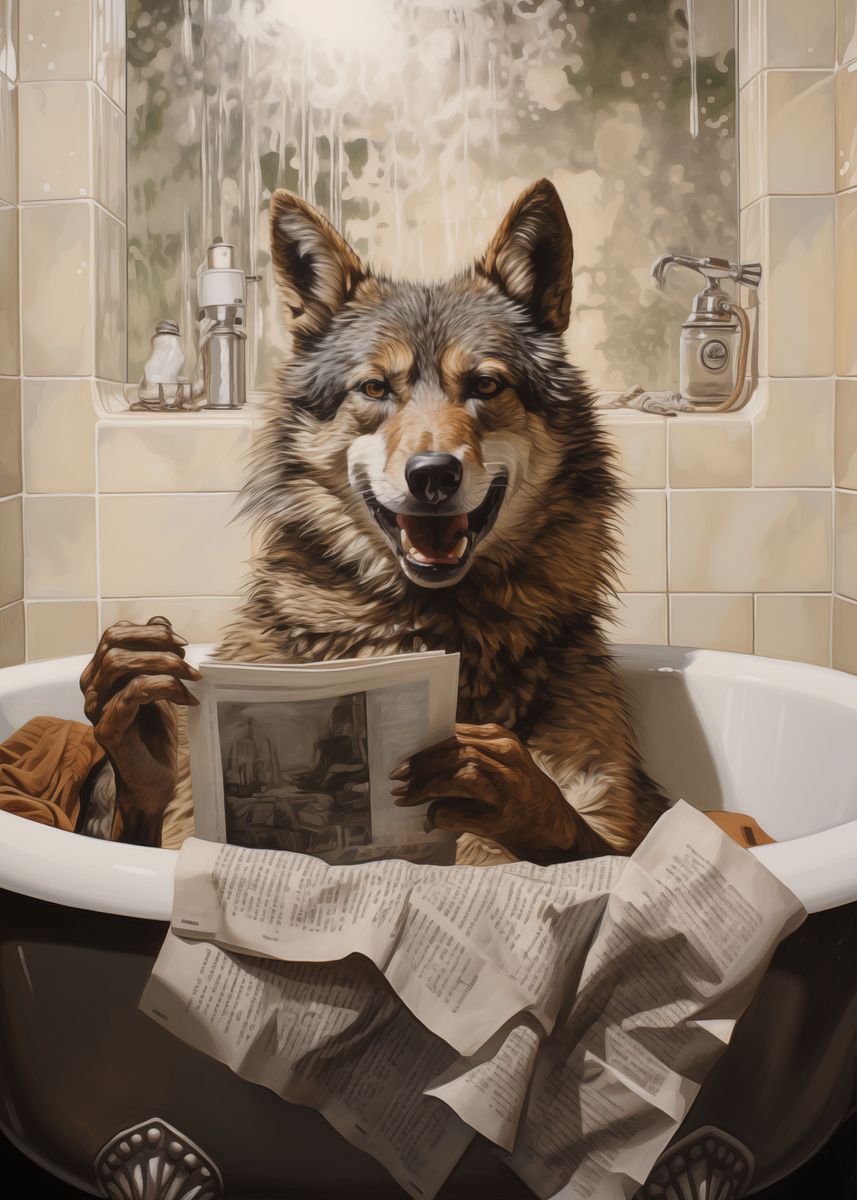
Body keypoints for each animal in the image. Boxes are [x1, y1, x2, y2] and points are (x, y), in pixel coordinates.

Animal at [82, 179, 668, 859]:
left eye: (486, 385)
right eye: (374, 388)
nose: (433, 475)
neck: (435, 631)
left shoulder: (616, 823)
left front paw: (507, 783)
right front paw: (133, 703)